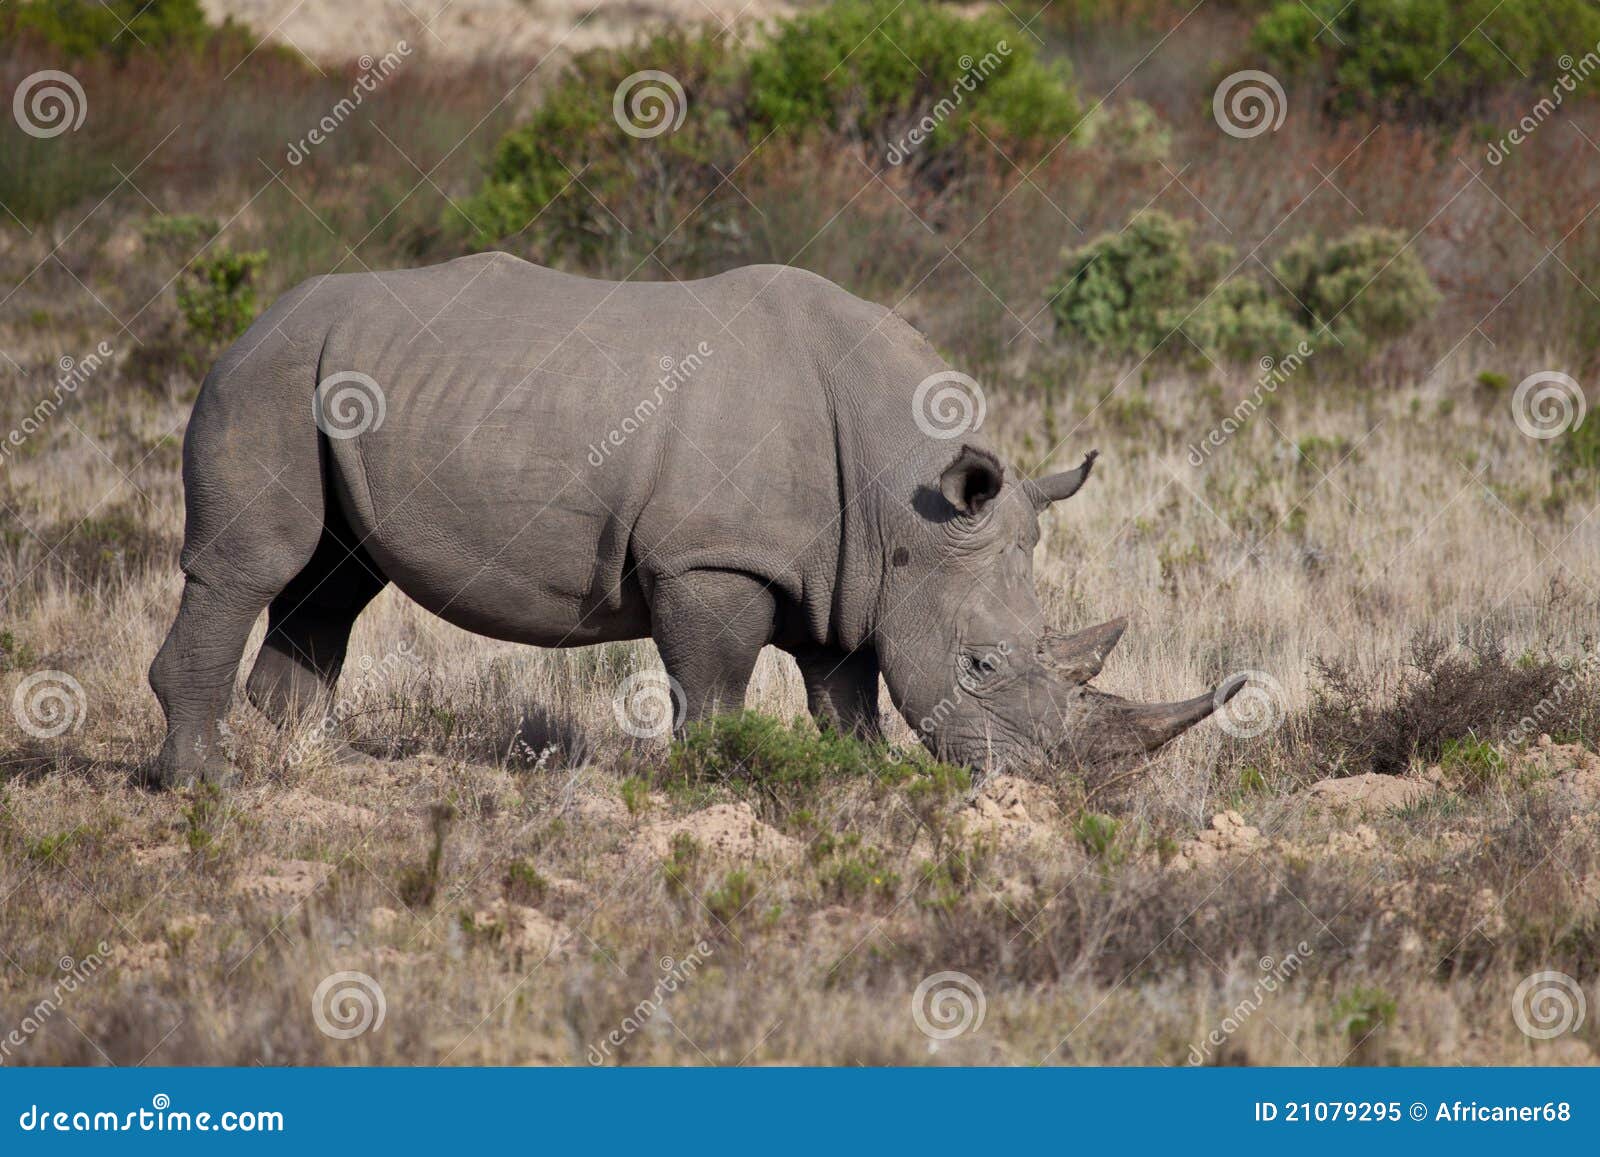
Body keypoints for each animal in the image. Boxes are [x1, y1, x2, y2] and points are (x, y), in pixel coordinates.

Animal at [148, 254, 1242, 787]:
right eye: (978, 663)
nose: (1046, 785)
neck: (902, 490)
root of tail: (251, 320)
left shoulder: (849, 576)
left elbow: (844, 693)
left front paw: (859, 777)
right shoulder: (713, 559)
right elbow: (714, 685)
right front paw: (718, 779)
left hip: (337, 381)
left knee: (335, 576)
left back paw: (316, 769)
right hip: (267, 378)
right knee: (254, 565)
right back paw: (207, 788)